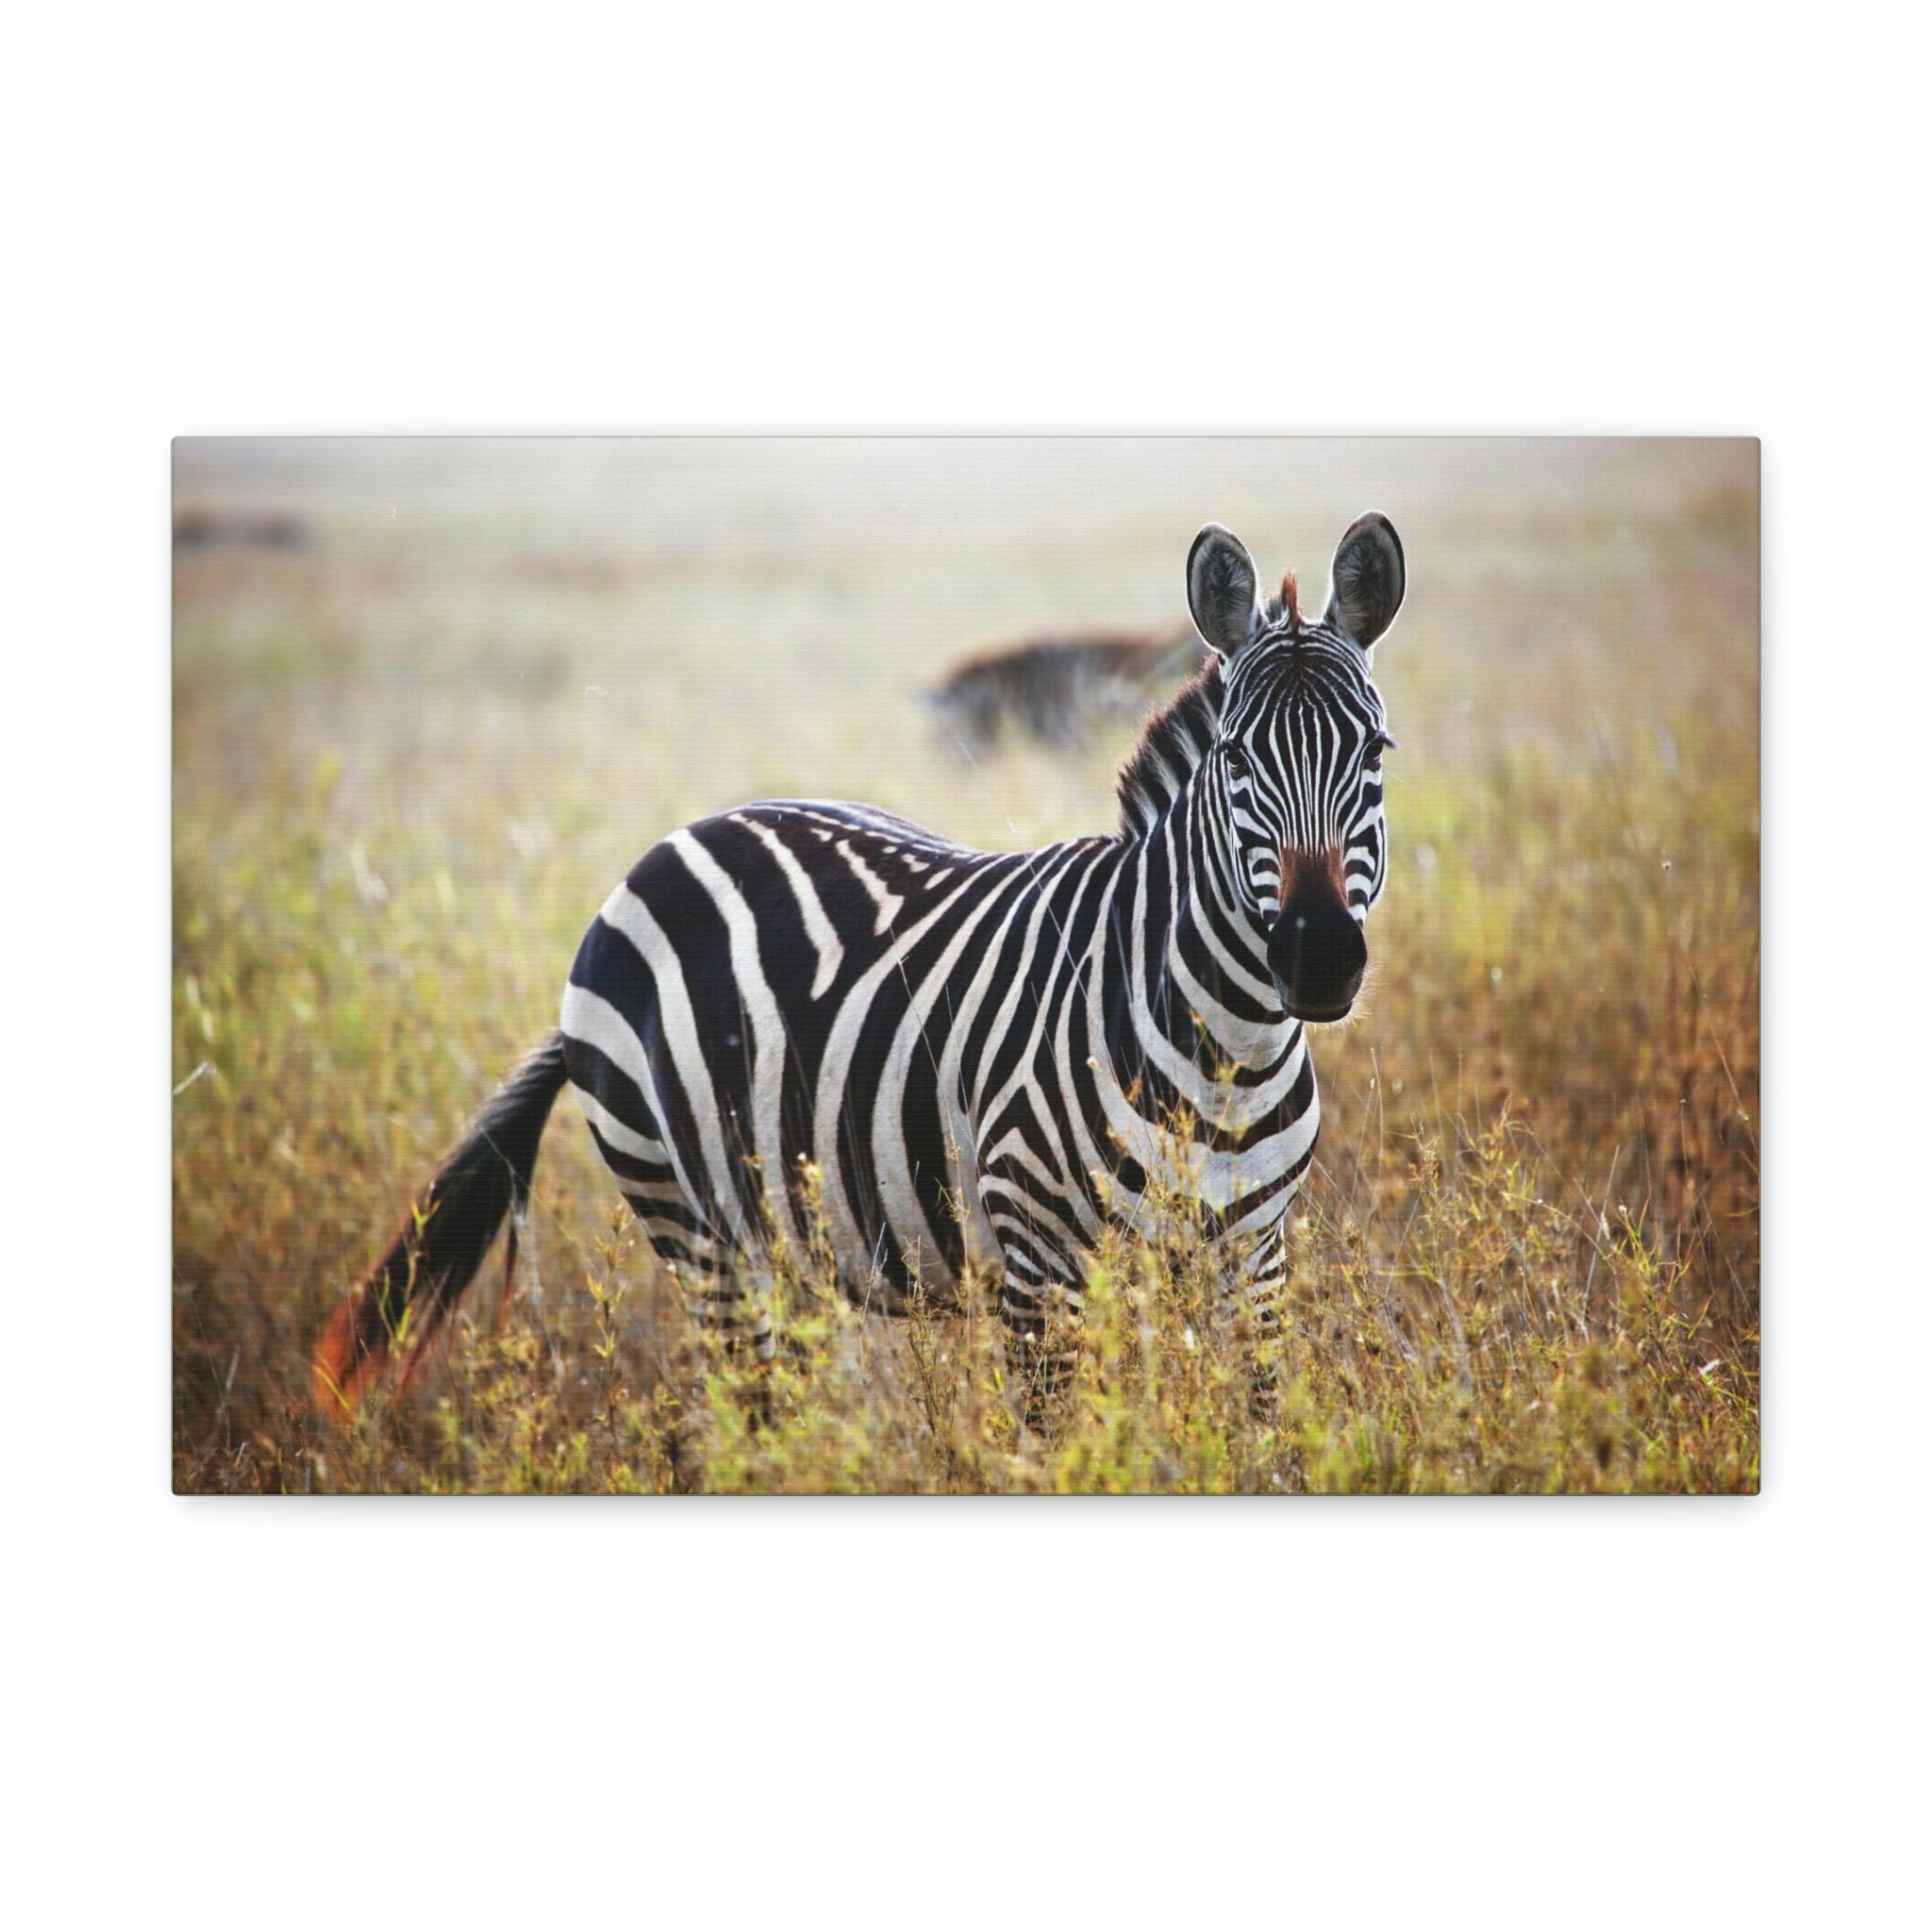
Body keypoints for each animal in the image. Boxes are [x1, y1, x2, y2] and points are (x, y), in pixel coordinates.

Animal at [315, 513, 1406, 1421]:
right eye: (1236, 759)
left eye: (1376, 752)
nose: (1316, 957)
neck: (1226, 1048)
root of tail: (670, 843)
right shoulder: (1038, 1260)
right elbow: (1062, 1446)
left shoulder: (1254, 1260)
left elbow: (1251, 1432)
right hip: (696, 1226)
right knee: (748, 1419)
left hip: (786, 1237)